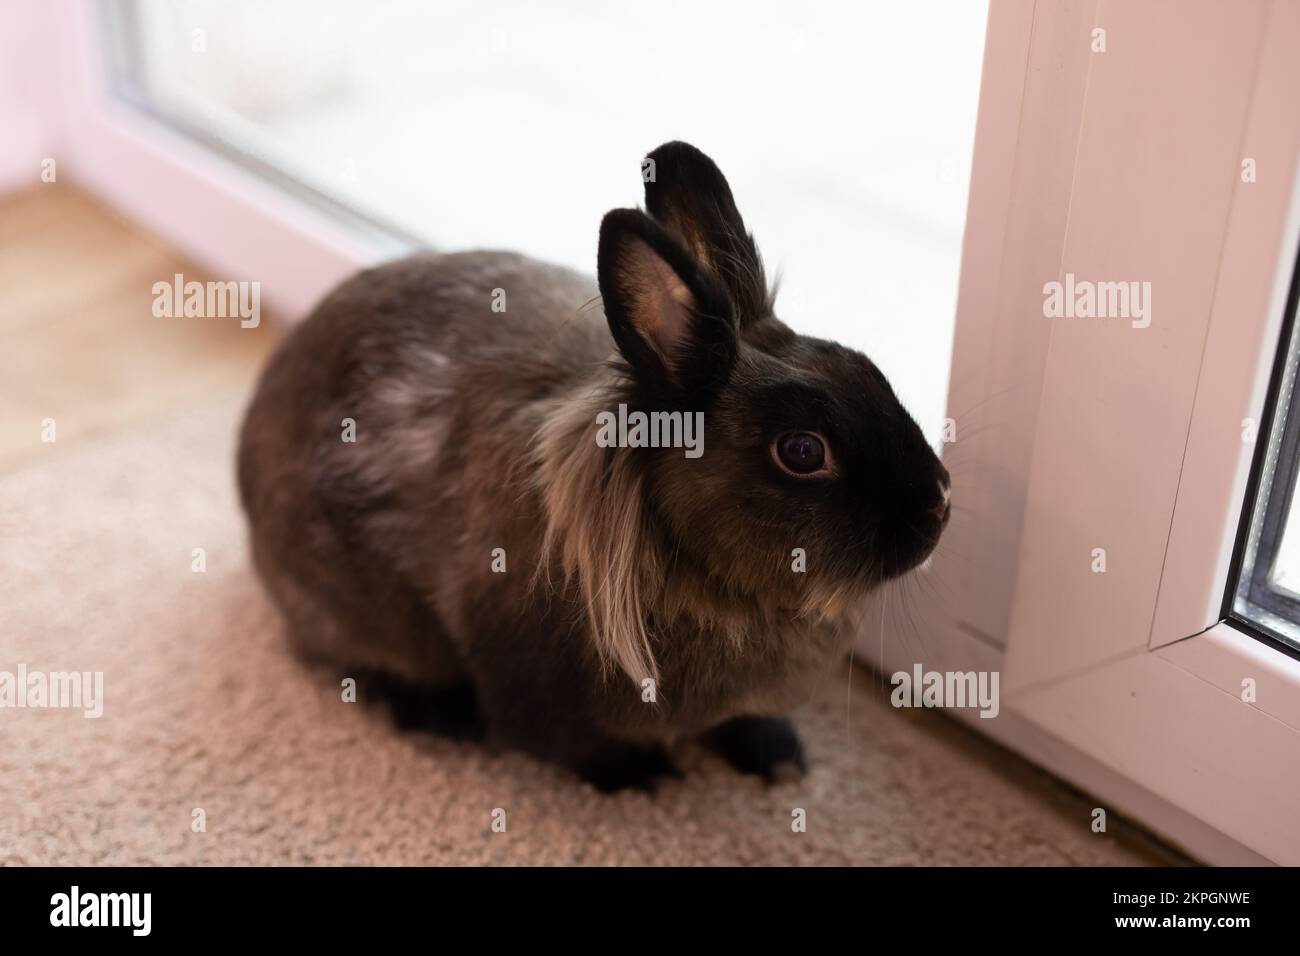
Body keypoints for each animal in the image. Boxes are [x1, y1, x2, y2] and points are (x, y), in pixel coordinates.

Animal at [237, 141, 951, 792]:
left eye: (868, 371)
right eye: (802, 452)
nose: (939, 502)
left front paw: (776, 756)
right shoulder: (527, 679)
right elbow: (565, 744)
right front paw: (640, 774)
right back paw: (443, 717)